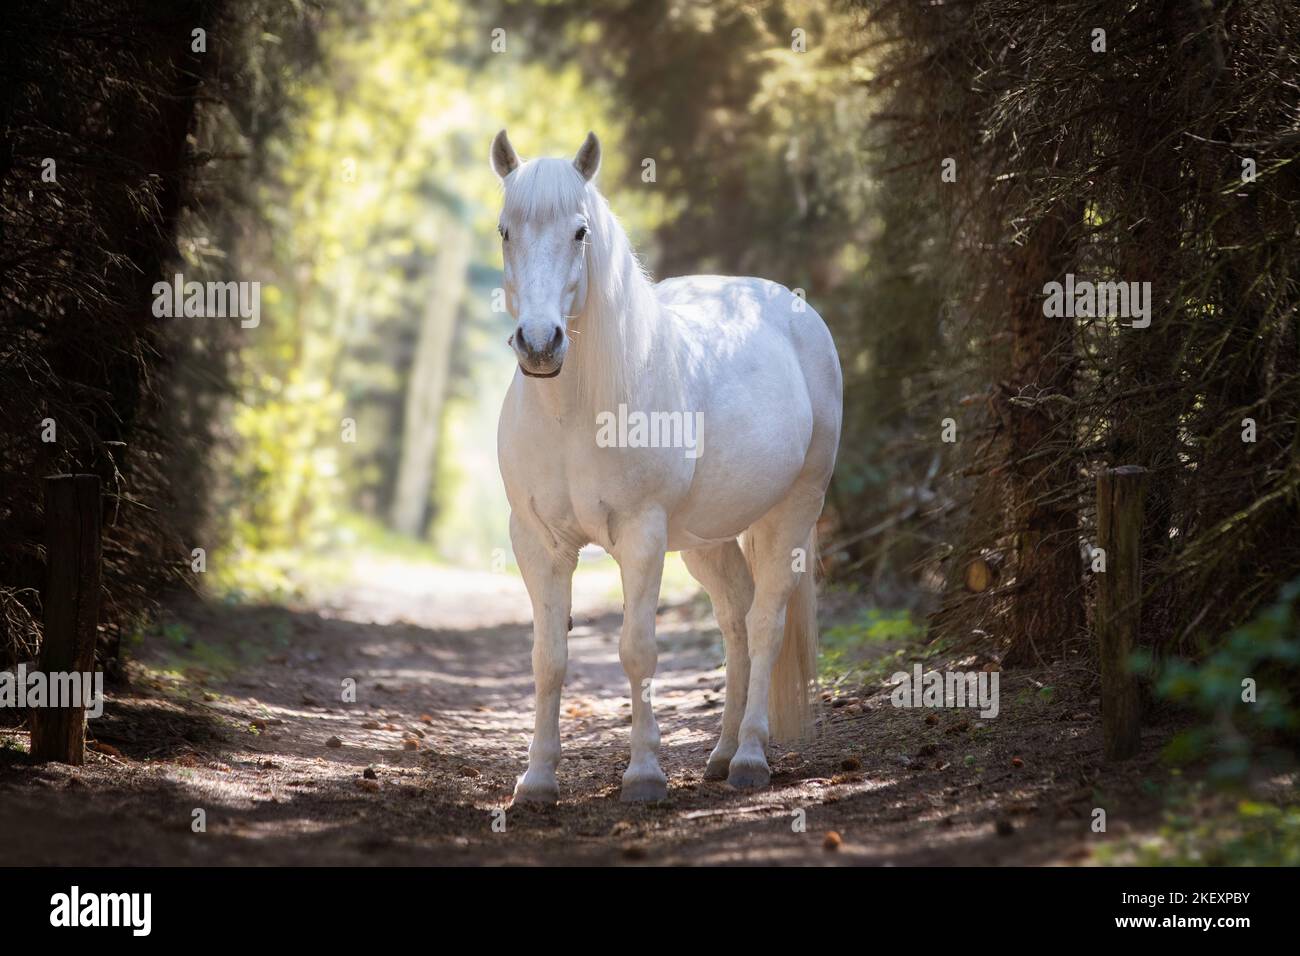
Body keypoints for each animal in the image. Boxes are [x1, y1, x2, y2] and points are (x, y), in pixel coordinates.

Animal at [491, 130, 843, 803]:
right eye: (504, 230)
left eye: (580, 231)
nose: (540, 344)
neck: (574, 412)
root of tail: (798, 311)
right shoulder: (538, 542)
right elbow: (548, 659)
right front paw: (537, 779)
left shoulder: (641, 535)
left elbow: (637, 651)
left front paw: (645, 774)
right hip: (707, 540)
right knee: (735, 621)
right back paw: (721, 753)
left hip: (793, 509)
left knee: (764, 622)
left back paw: (750, 758)